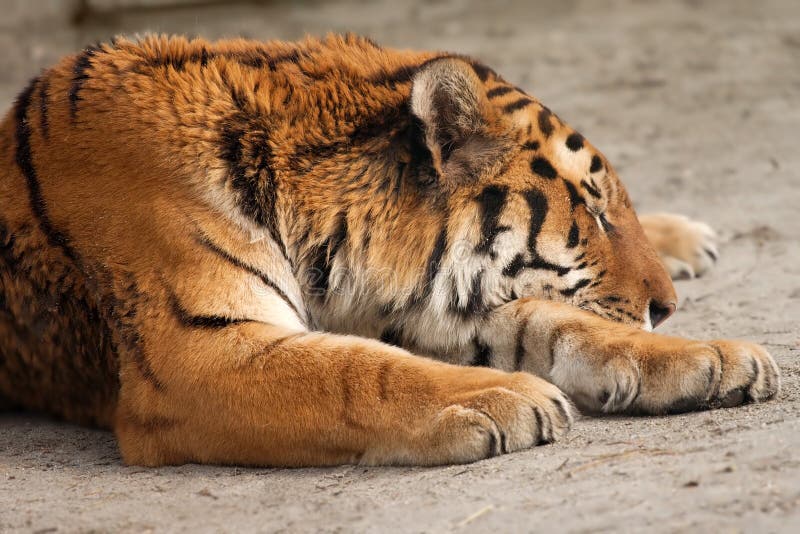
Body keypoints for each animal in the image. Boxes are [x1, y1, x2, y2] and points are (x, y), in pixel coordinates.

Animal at [0, 34, 779, 467]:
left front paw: (715, 357)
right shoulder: (193, 353)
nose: (666, 307)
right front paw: (503, 396)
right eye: (590, 207)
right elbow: (358, 374)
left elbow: (559, 323)